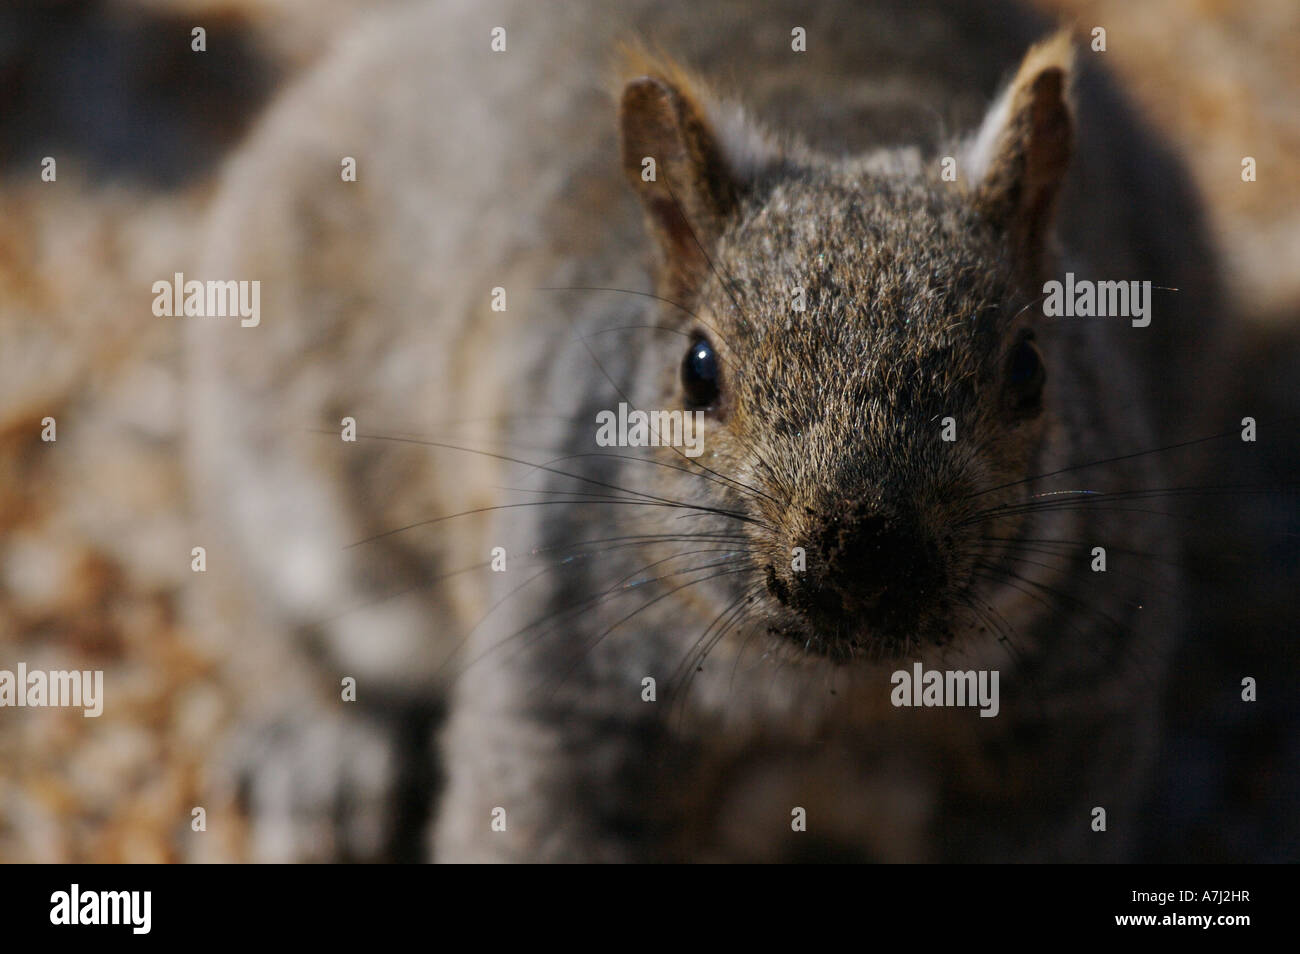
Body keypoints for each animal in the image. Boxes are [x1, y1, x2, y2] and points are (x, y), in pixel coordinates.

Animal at [187, 0, 1224, 861]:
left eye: (1029, 369)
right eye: (697, 368)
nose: (860, 555)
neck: (837, 699)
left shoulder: (1061, 746)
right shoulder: (561, 705)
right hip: (305, 451)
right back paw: (318, 759)